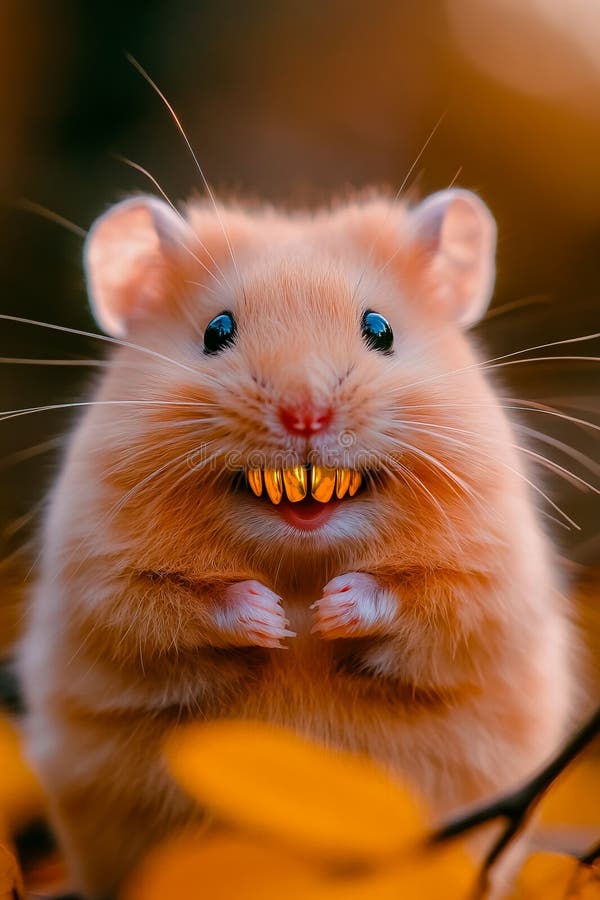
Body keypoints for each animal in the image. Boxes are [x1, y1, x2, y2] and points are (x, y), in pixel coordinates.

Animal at [19, 188, 575, 897]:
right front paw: (278, 621)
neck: (301, 555)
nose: (305, 415)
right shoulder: (102, 583)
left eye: (381, 329)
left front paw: (326, 613)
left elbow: (422, 605)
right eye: (216, 331)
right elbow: (173, 612)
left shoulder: (489, 585)